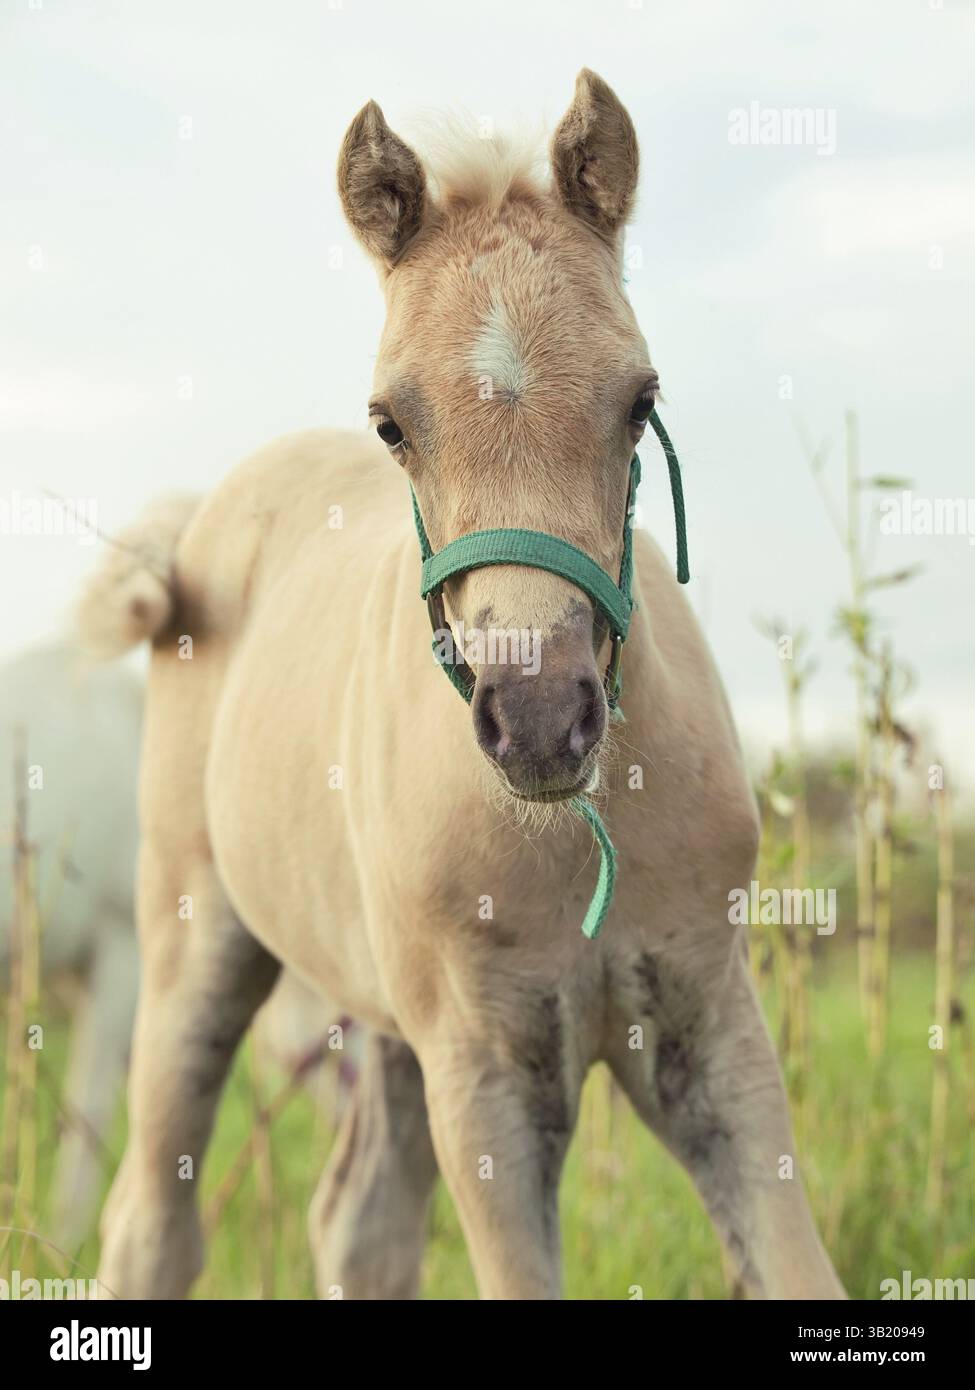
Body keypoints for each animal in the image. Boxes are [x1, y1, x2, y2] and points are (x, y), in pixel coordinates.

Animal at [87, 70, 844, 1300]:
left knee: (361, 1219)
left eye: (642, 400)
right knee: (153, 1217)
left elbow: (793, 1263)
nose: (538, 718)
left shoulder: (710, 1024)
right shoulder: (483, 1070)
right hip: (196, 945)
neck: (576, 832)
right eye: (392, 423)